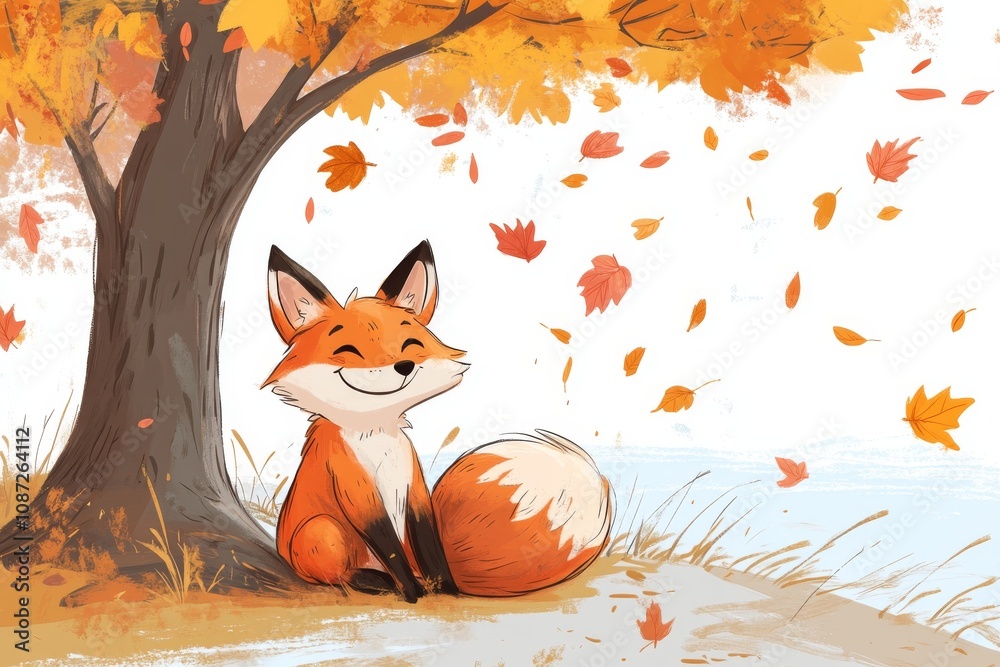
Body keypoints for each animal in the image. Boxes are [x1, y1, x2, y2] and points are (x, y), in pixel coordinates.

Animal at [264, 241, 612, 602]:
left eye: (410, 345)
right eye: (348, 349)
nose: (403, 366)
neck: (377, 439)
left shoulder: (413, 488)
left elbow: (429, 543)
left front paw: (446, 589)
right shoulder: (357, 492)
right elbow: (391, 549)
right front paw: (411, 592)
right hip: (323, 531)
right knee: (337, 575)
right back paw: (372, 580)